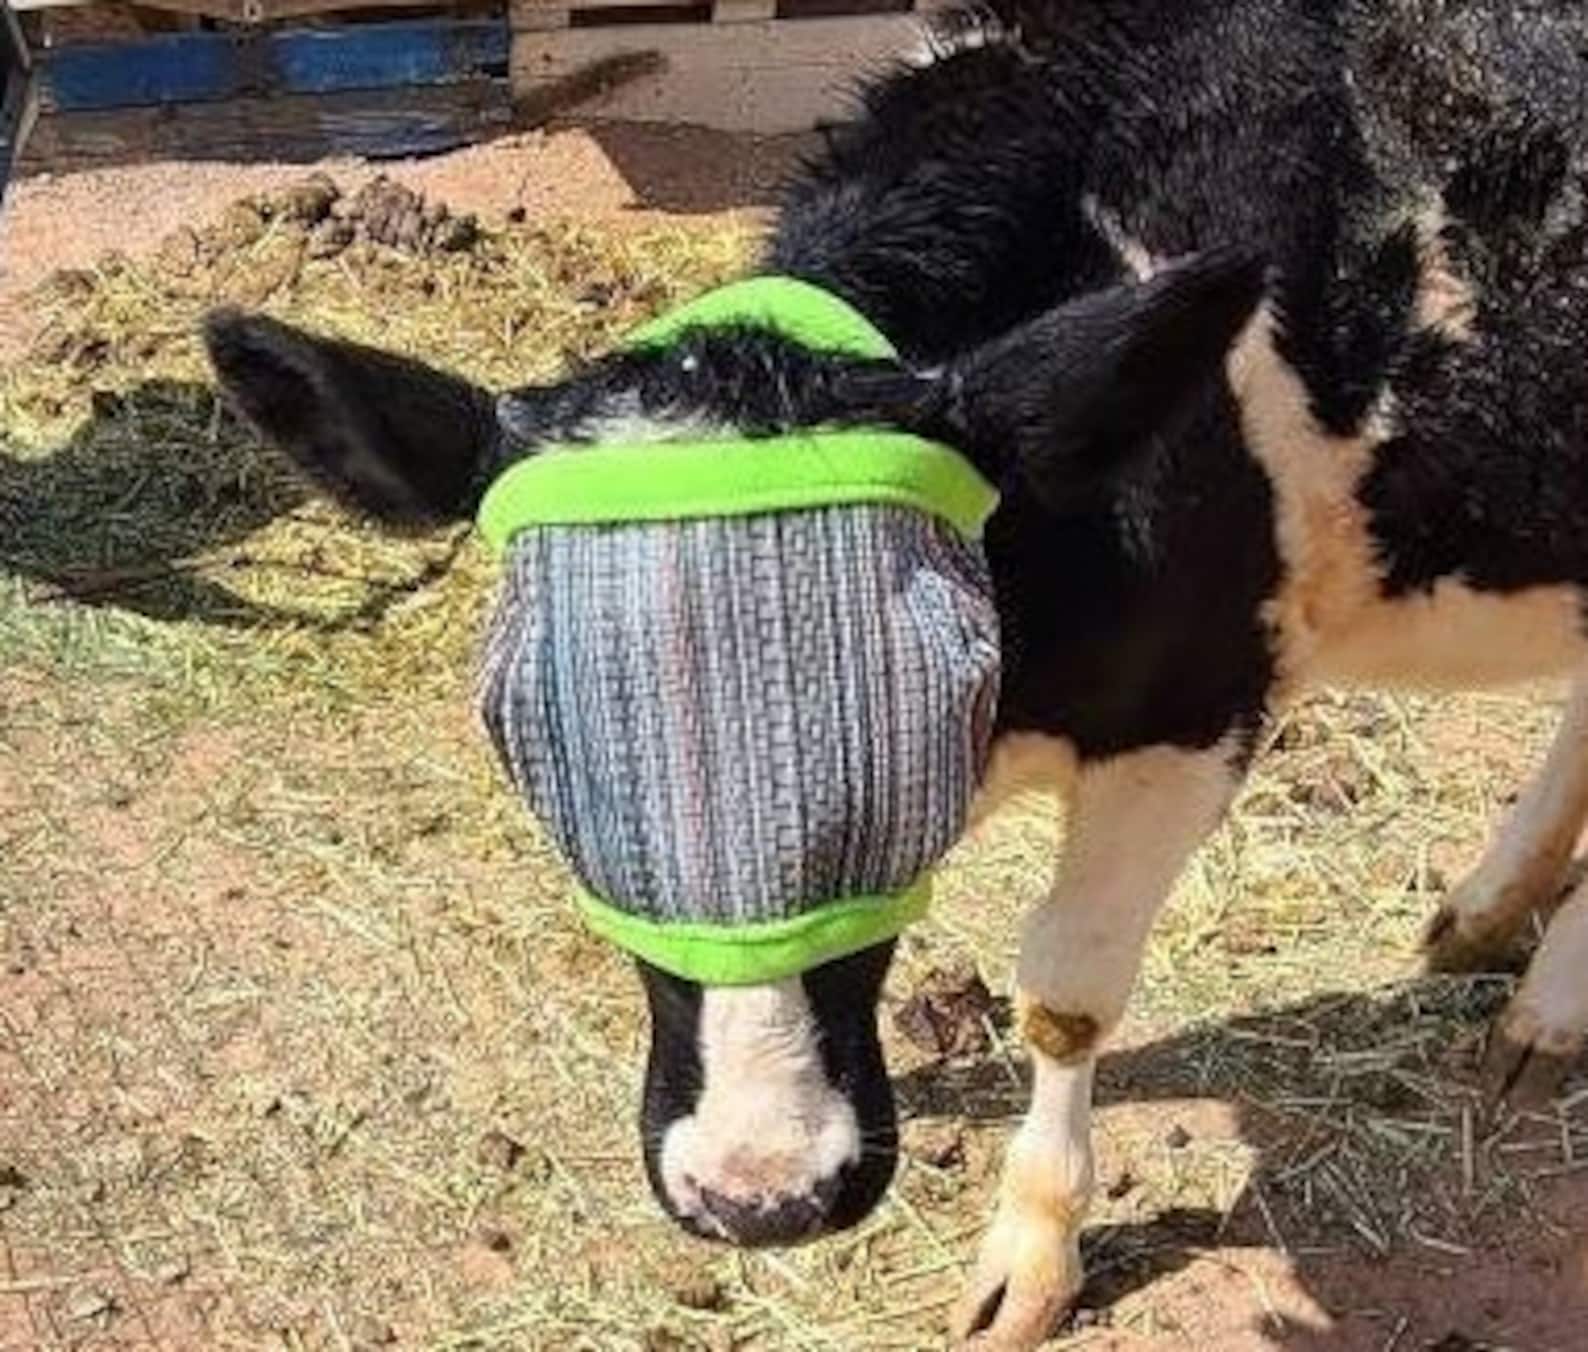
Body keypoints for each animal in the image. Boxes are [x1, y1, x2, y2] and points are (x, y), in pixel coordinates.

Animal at [201, 1, 1588, 1346]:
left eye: (920, 729)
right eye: (534, 751)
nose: (761, 1193)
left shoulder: (1192, 708)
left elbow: (1066, 994)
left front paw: (1028, 1259)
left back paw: (1544, 1009)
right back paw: (1484, 917)